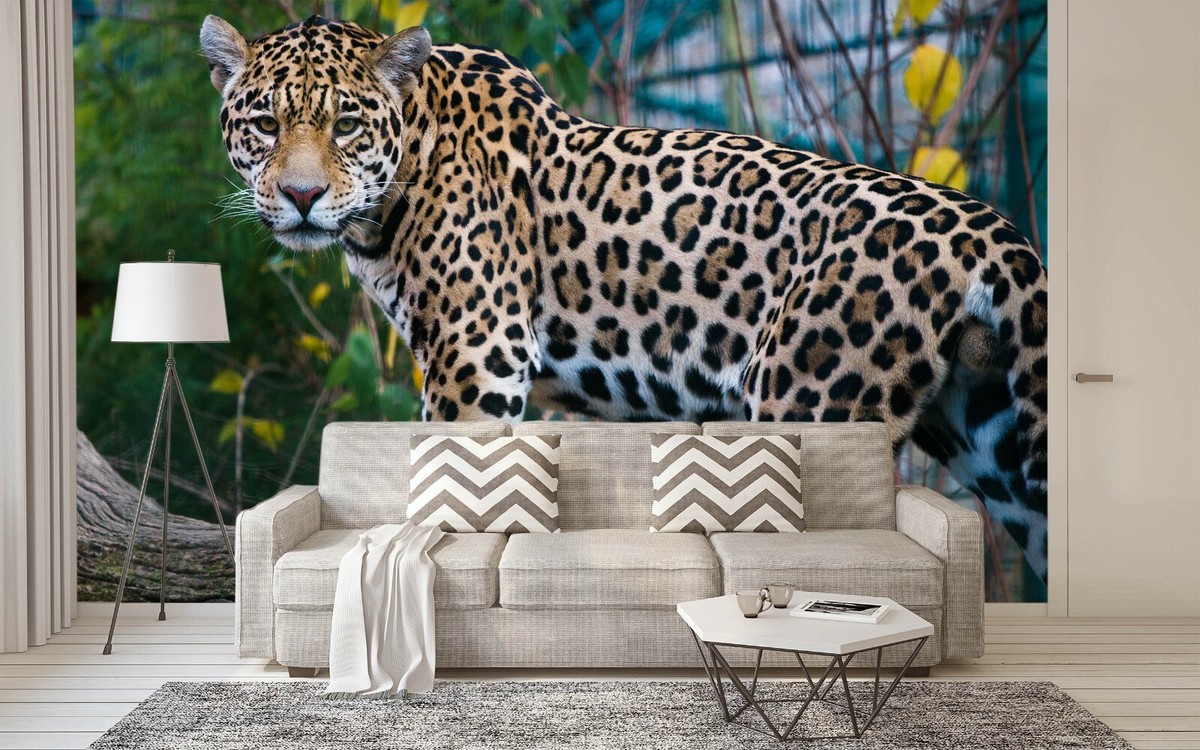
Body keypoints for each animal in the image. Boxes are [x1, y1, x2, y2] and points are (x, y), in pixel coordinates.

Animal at [201, 15, 1050, 580]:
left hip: (808, 397)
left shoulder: (476, 361)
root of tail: (988, 229)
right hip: (997, 443)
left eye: (346, 124)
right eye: (263, 122)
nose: (301, 196)